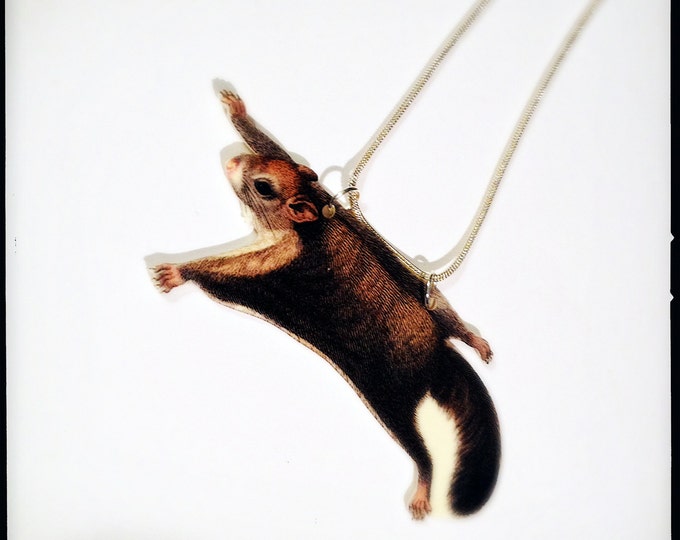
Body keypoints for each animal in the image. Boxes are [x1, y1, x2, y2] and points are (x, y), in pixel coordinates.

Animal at [154, 90, 500, 520]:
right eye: (266, 165)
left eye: (263, 186)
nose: (233, 161)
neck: (310, 224)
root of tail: (437, 357)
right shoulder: (324, 199)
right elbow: (271, 142)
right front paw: (236, 108)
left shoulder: (280, 257)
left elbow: (228, 266)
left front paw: (176, 271)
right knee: (451, 321)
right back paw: (476, 343)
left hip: (391, 395)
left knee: (419, 449)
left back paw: (422, 489)